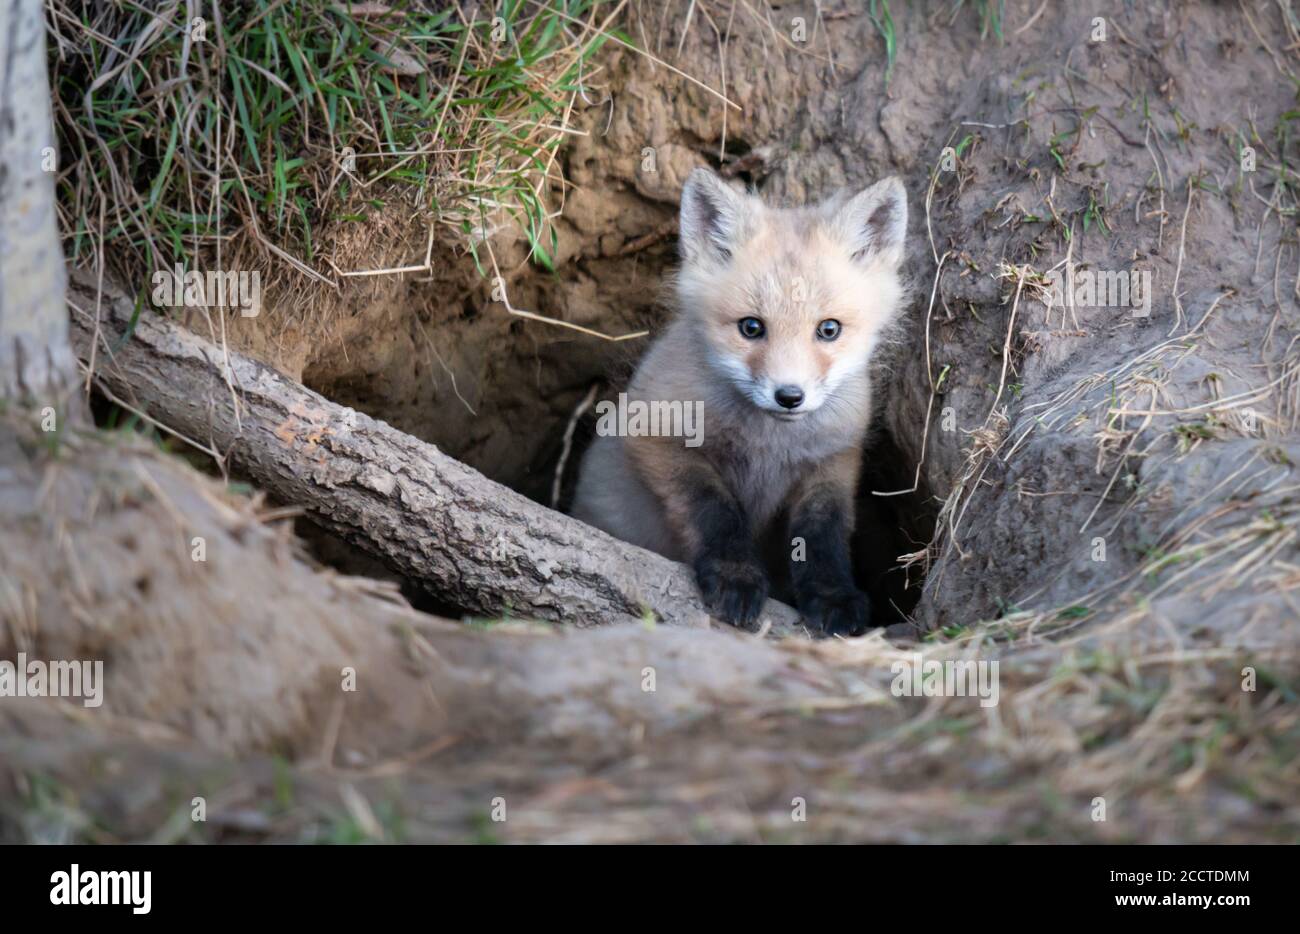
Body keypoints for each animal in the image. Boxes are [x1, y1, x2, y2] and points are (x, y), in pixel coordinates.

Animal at [571, 167, 909, 635]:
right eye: (751, 327)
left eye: (829, 330)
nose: (789, 396)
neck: (767, 444)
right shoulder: (657, 438)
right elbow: (714, 509)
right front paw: (735, 576)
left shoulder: (833, 462)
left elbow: (822, 534)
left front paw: (832, 596)